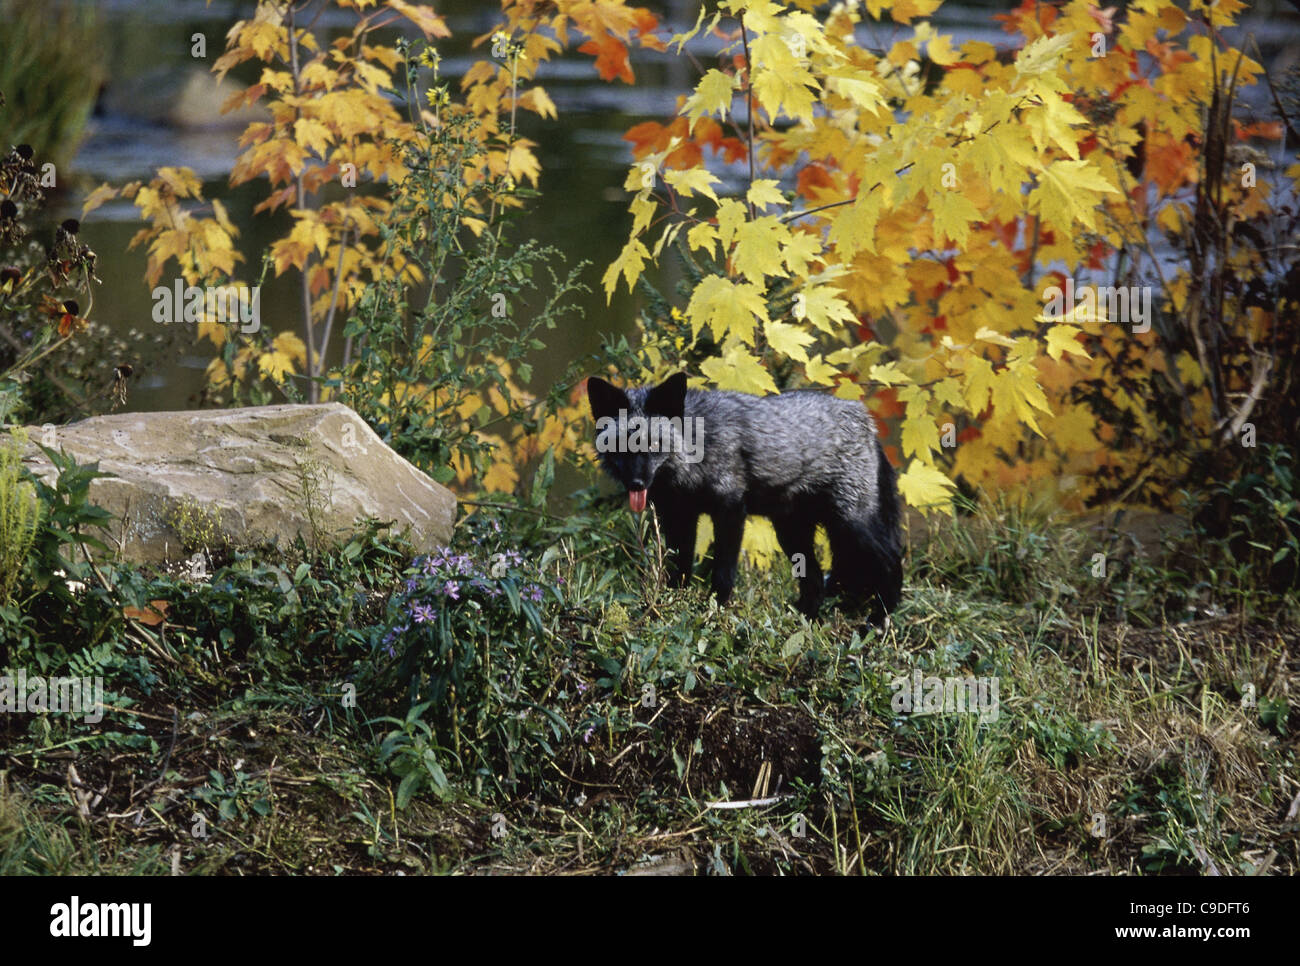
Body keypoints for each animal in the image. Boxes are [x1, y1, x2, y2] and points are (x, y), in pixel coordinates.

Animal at [586, 371, 902, 624]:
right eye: (621, 446)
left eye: (653, 444)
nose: (636, 484)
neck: (697, 447)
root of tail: (866, 421)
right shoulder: (679, 516)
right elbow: (681, 568)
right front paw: (673, 605)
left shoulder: (730, 509)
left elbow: (723, 572)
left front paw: (714, 610)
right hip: (792, 533)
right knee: (814, 580)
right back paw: (801, 620)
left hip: (850, 524)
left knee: (891, 560)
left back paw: (879, 620)